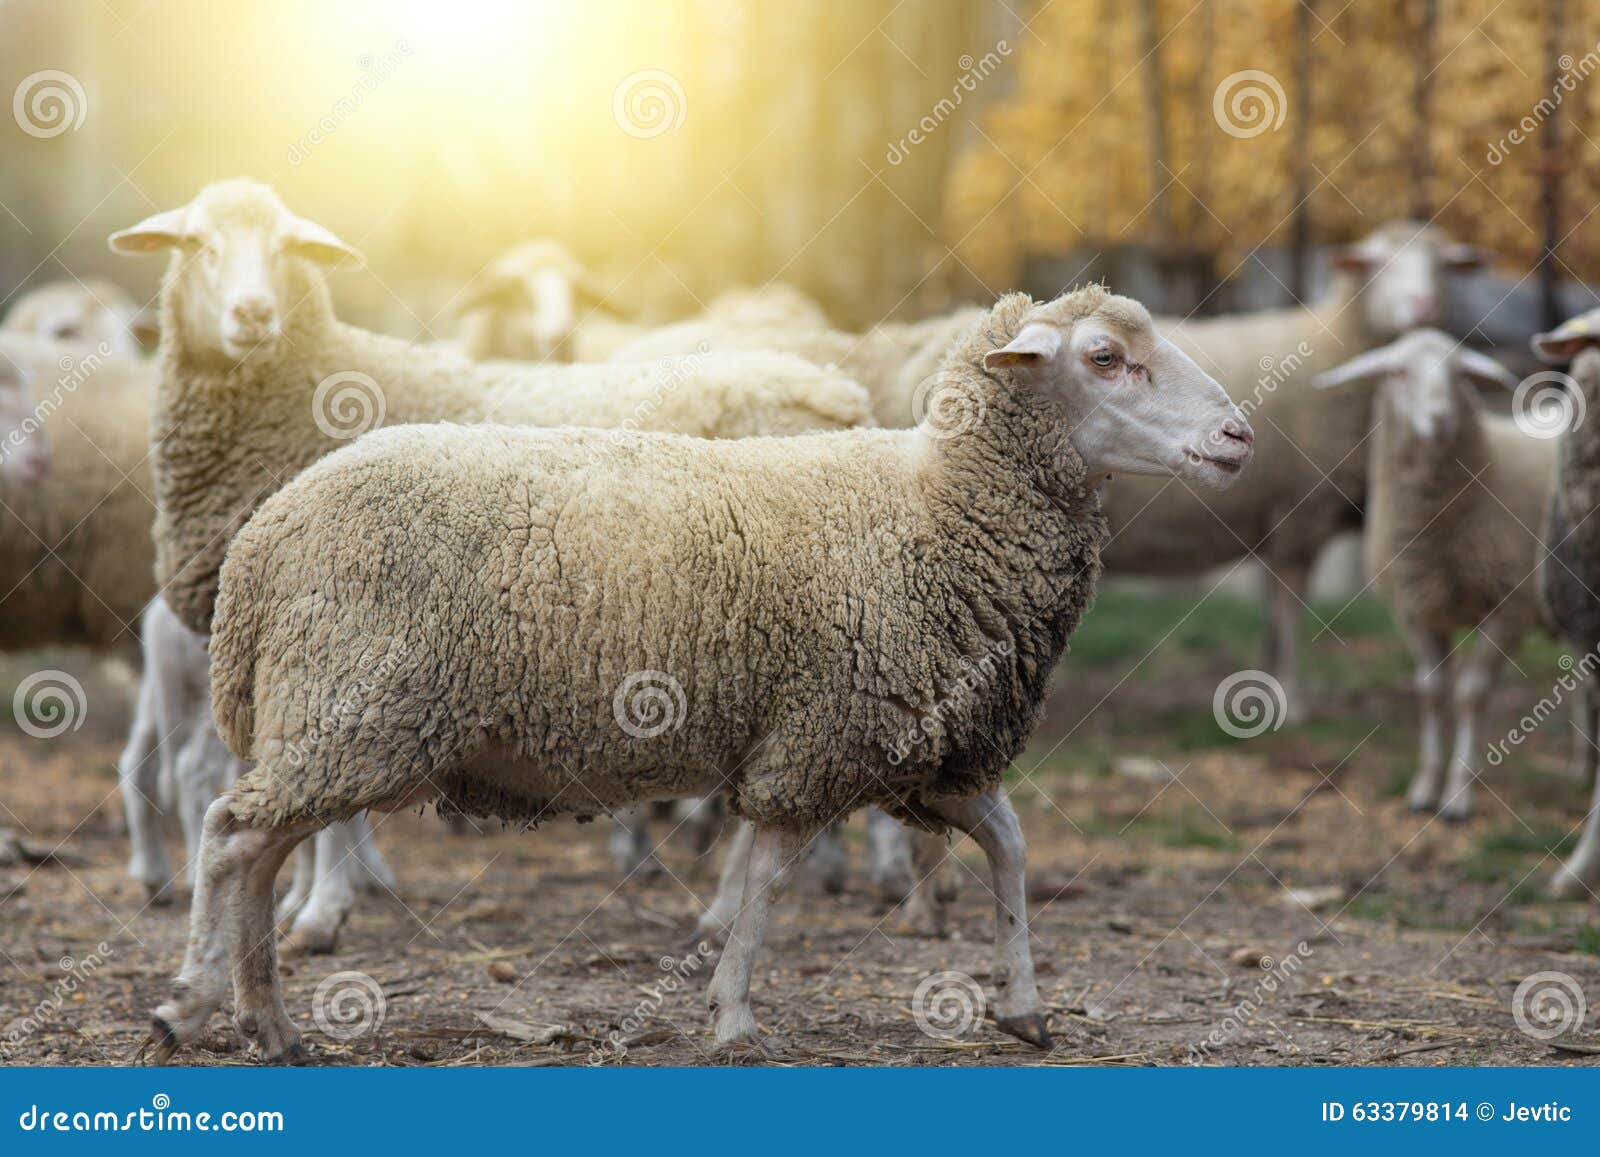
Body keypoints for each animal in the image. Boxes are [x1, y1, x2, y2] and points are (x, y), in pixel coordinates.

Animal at [144, 284, 1255, 1063]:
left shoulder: (919, 743)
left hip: (327, 717)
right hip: (353, 711)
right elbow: (765, 881)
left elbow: (1011, 845)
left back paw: (265, 1021)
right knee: (232, 836)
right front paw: (731, 1017)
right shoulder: (821, 734)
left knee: (257, 850)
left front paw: (1024, 1005)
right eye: (1107, 358)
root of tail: (264, 540)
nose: (1239, 433)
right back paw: (193, 1003)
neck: (936, 507)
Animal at [1314, 329, 1552, 820]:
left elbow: (1471, 694)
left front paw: (1459, 795)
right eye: (1399, 373)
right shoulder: (1417, 610)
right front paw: (1424, 788)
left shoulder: (1510, 608)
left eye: (1459, 374)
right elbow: (1431, 692)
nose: (1441, 419)